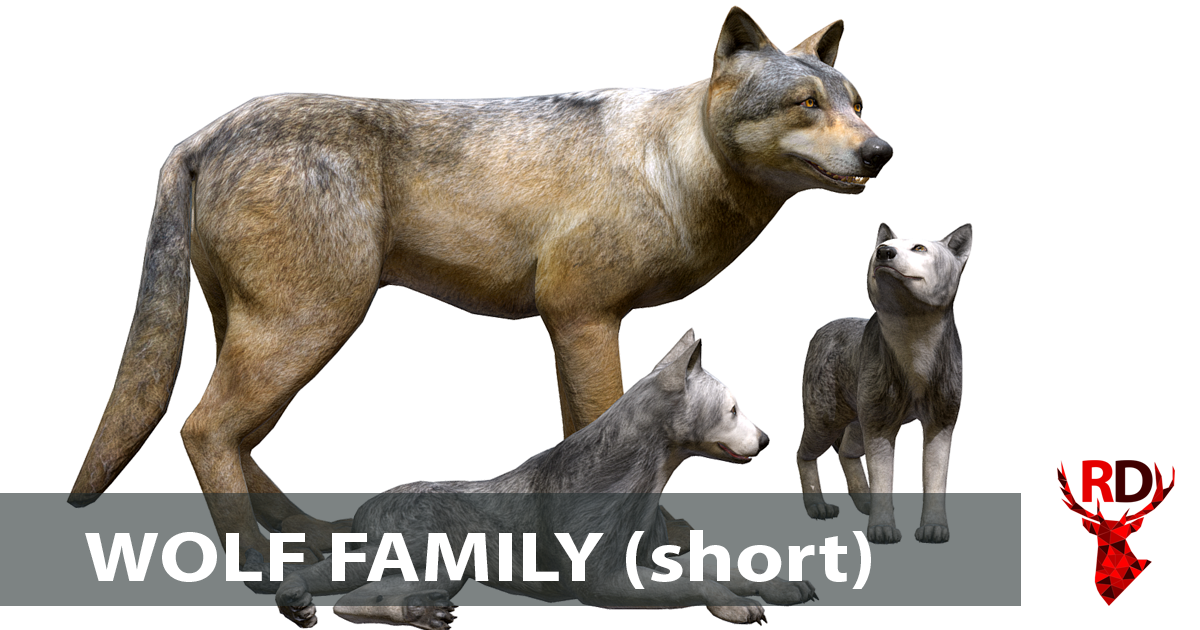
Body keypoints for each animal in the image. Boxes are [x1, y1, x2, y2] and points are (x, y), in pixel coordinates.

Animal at [68, 6, 892, 564]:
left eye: (856, 103)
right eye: (806, 105)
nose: (882, 153)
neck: (673, 170)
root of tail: (202, 133)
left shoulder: (573, 326)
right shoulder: (586, 318)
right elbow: (603, 431)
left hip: (274, 339)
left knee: (235, 438)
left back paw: (317, 538)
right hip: (310, 330)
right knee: (203, 428)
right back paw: (264, 568)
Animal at [269, 331, 815, 628]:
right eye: (733, 409)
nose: (766, 439)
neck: (641, 477)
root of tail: (366, 505)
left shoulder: (644, 561)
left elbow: (721, 566)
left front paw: (780, 585)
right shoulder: (605, 583)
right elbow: (698, 580)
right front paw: (735, 607)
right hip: (428, 555)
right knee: (346, 599)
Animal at [796, 224, 971, 544]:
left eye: (919, 248)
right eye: (883, 246)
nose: (884, 252)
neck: (914, 342)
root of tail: (821, 330)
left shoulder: (940, 422)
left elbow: (935, 478)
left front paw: (934, 529)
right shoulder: (879, 425)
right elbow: (883, 477)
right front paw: (882, 529)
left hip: (856, 419)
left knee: (847, 451)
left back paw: (864, 501)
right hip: (825, 418)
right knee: (804, 453)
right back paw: (817, 506)